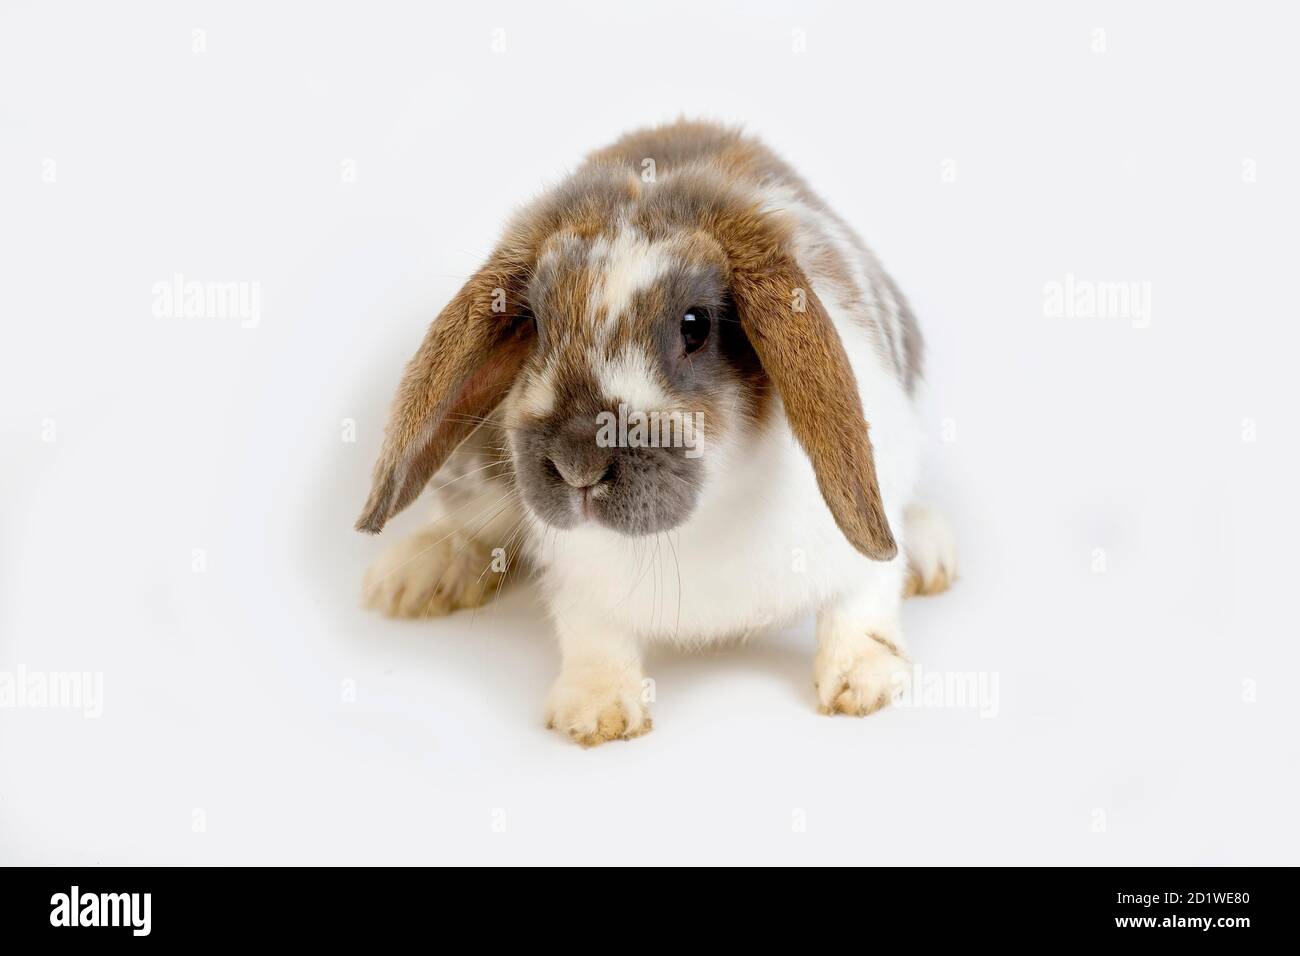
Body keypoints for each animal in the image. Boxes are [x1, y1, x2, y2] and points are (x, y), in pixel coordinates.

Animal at [357, 119, 955, 746]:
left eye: (696, 325)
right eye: (536, 323)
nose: (578, 465)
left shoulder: (857, 538)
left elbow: (861, 603)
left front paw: (864, 683)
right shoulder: (579, 581)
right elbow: (592, 635)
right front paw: (597, 711)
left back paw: (928, 553)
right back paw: (410, 580)